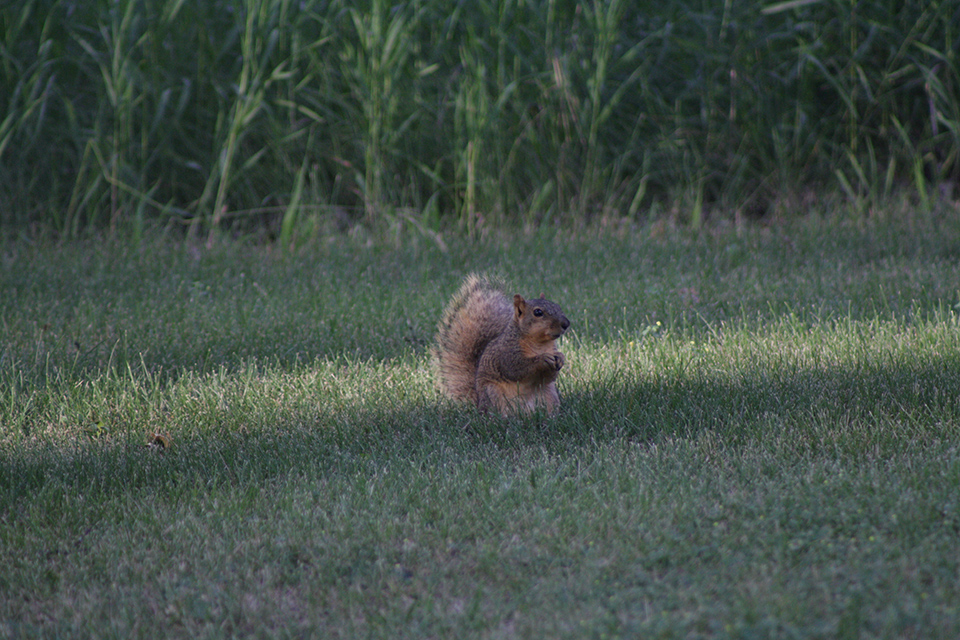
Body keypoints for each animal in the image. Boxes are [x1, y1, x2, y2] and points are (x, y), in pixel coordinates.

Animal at [432, 274, 570, 416]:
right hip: (493, 392)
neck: (540, 343)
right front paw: (542, 358)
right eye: (538, 312)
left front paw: (561, 357)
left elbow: (549, 378)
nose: (566, 323)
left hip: (549, 393)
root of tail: (479, 405)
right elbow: (516, 367)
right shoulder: (506, 352)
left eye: (558, 307)